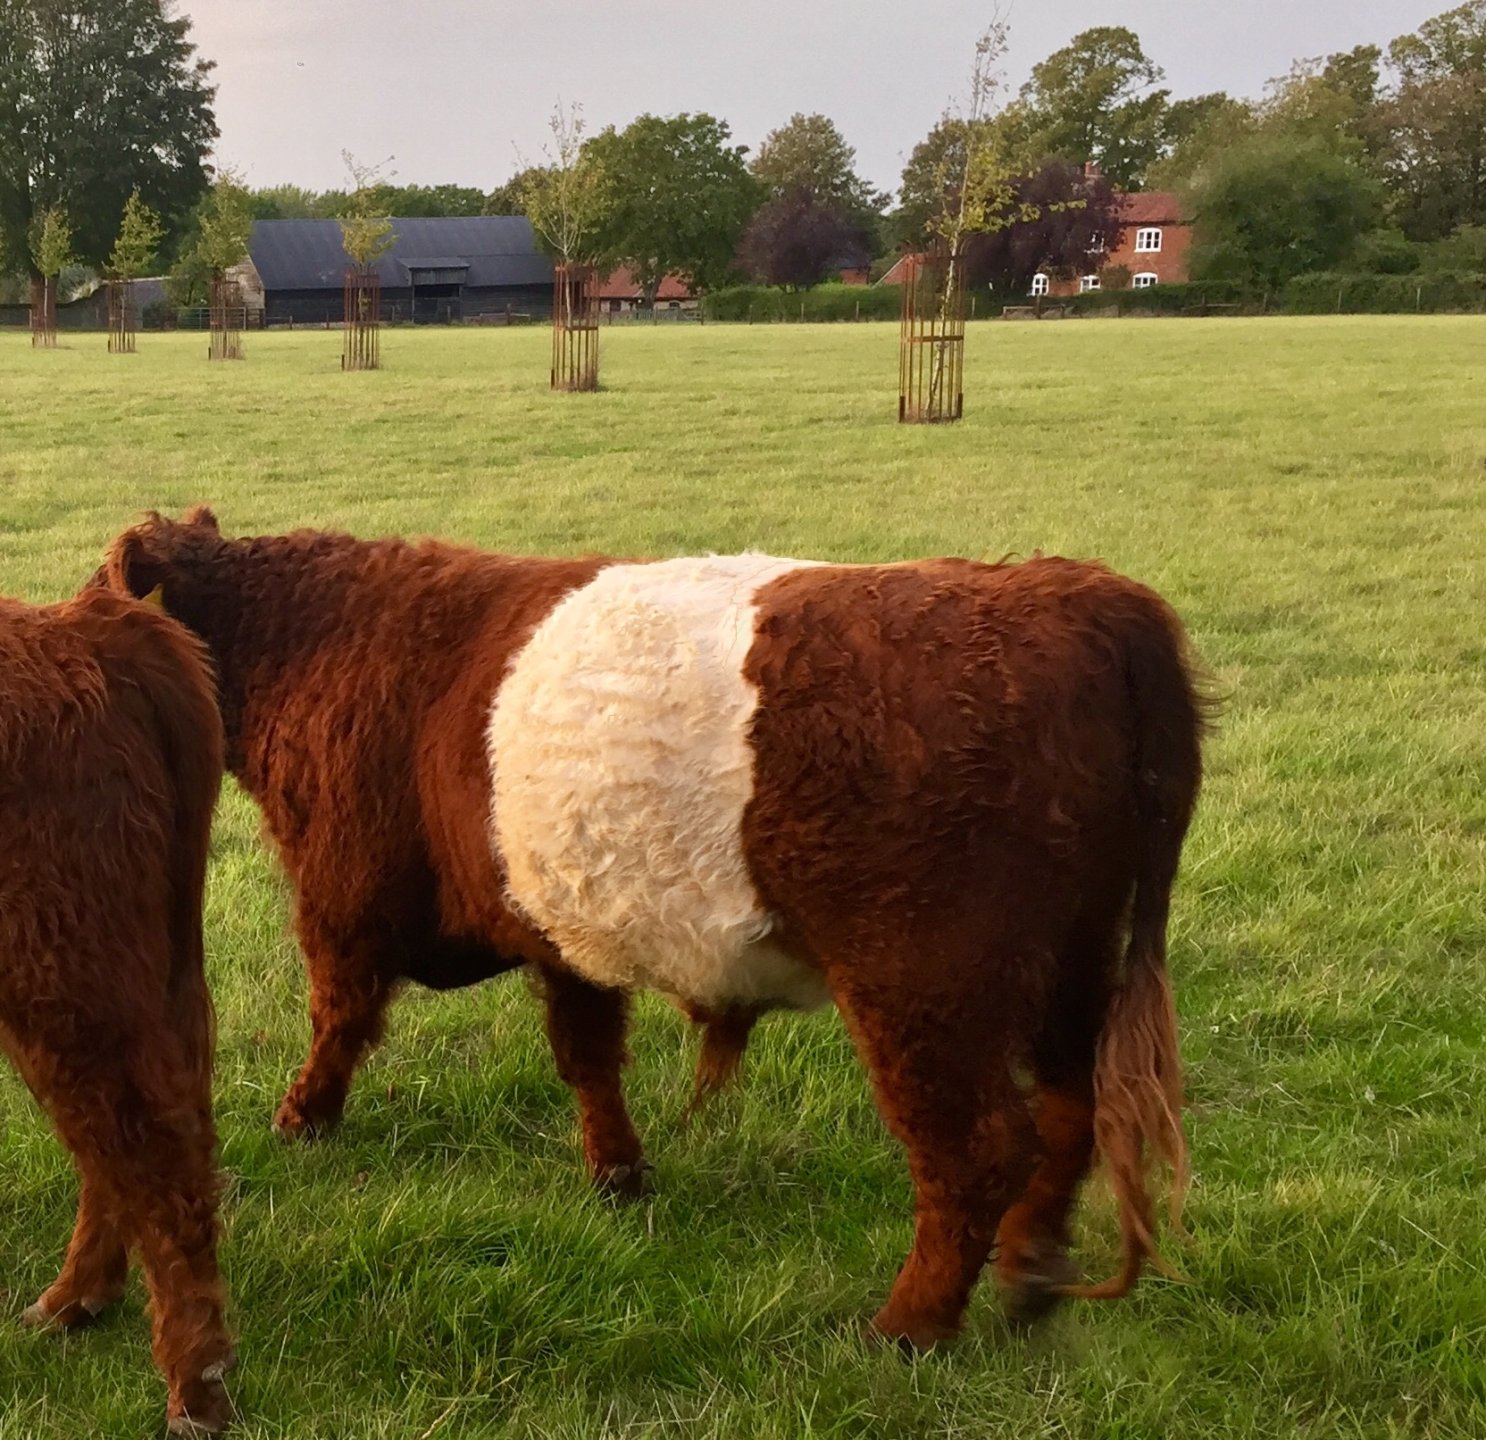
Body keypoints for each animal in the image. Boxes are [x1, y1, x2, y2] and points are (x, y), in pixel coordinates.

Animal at [98, 507, 1210, 1346]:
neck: (319, 639)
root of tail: (1082, 597)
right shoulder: (560, 929)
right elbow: (589, 1056)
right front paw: (618, 1175)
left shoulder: (341, 897)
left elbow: (339, 1022)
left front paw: (303, 1120)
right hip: (1072, 965)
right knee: (1071, 1112)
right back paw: (1028, 1280)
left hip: (922, 985)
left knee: (976, 1149)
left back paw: (908, 1327)